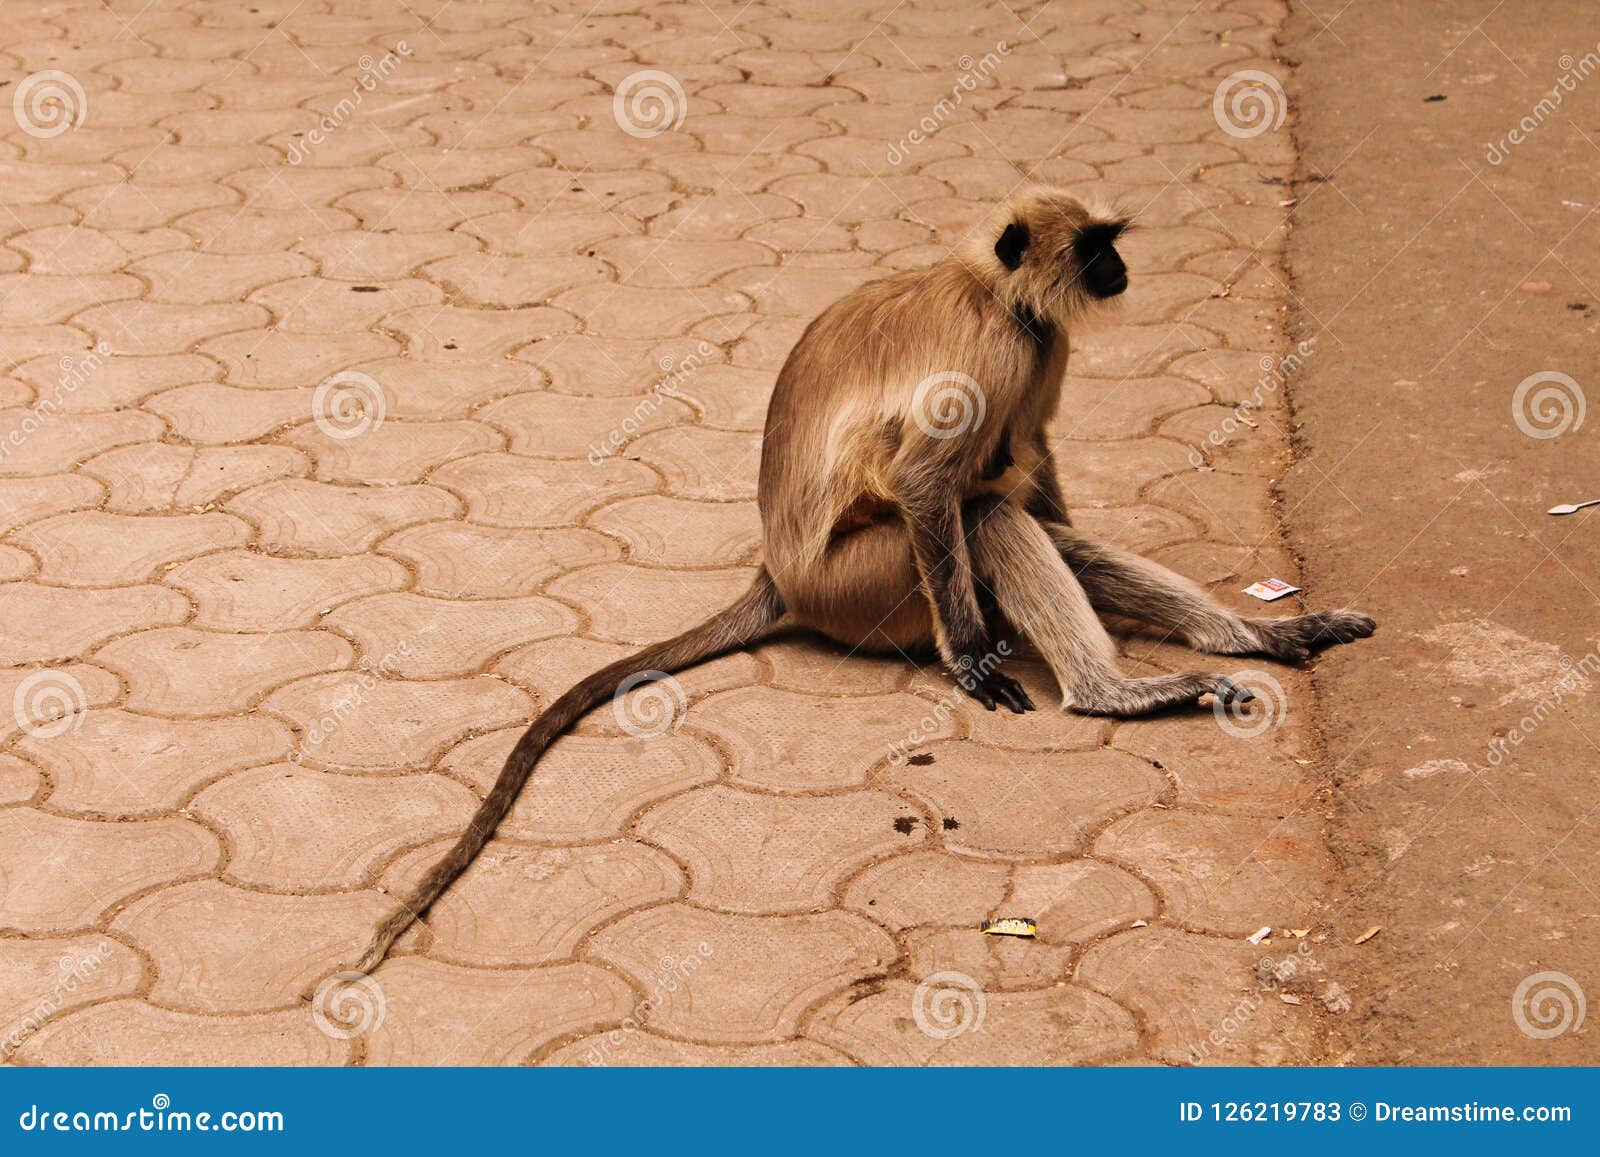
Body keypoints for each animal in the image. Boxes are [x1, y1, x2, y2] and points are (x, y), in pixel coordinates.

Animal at [344, 185, 1374, 975]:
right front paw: (974, 662)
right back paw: (1110, 691)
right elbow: (927, 479)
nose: (1117, 270)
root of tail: (782, 576)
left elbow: (1033, 462)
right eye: (1093, 249)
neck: (996, 292)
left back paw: (1254, 636)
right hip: (872, 585)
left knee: (1026, 520)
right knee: (985, 516)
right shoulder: (996, 345)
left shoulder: (1041, 346)